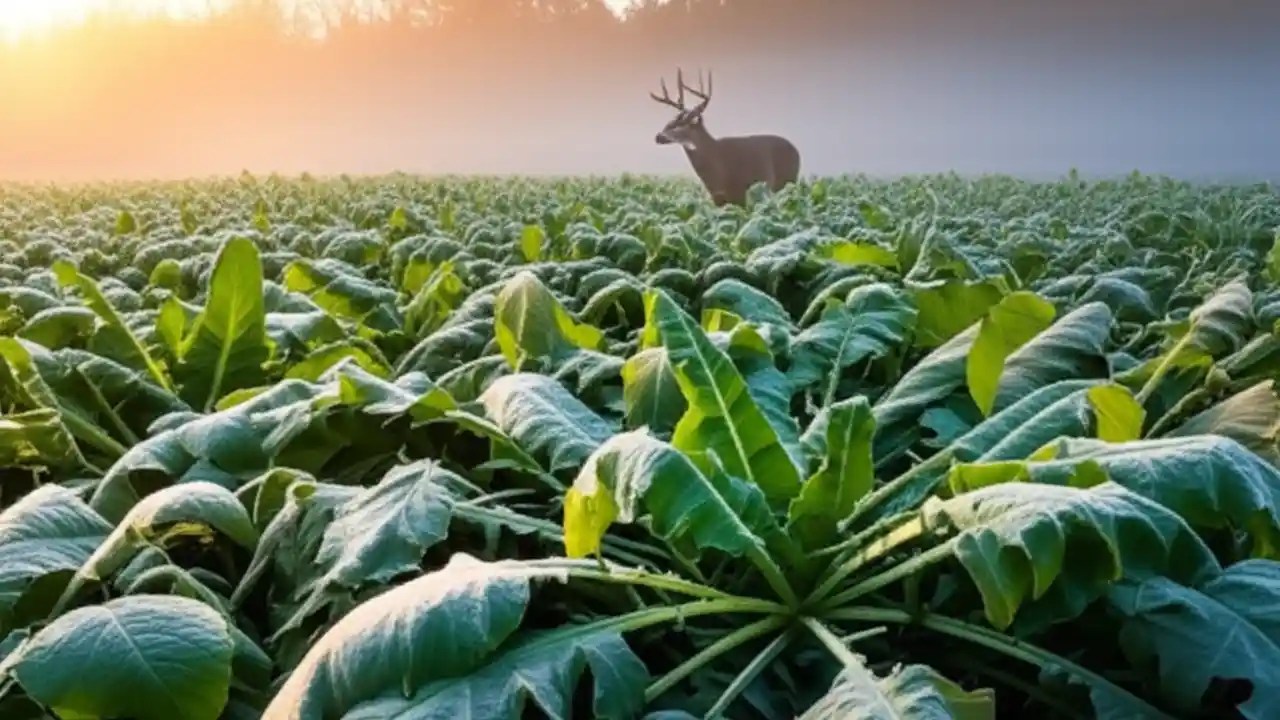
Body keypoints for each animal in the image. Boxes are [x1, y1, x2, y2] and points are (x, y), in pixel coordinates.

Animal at [650, 68, 801, 207]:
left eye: (680, 125)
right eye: (669, 122)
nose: (658, 136)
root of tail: (796, 151)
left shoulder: (741, 193)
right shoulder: (717, 198)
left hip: (787, 182)